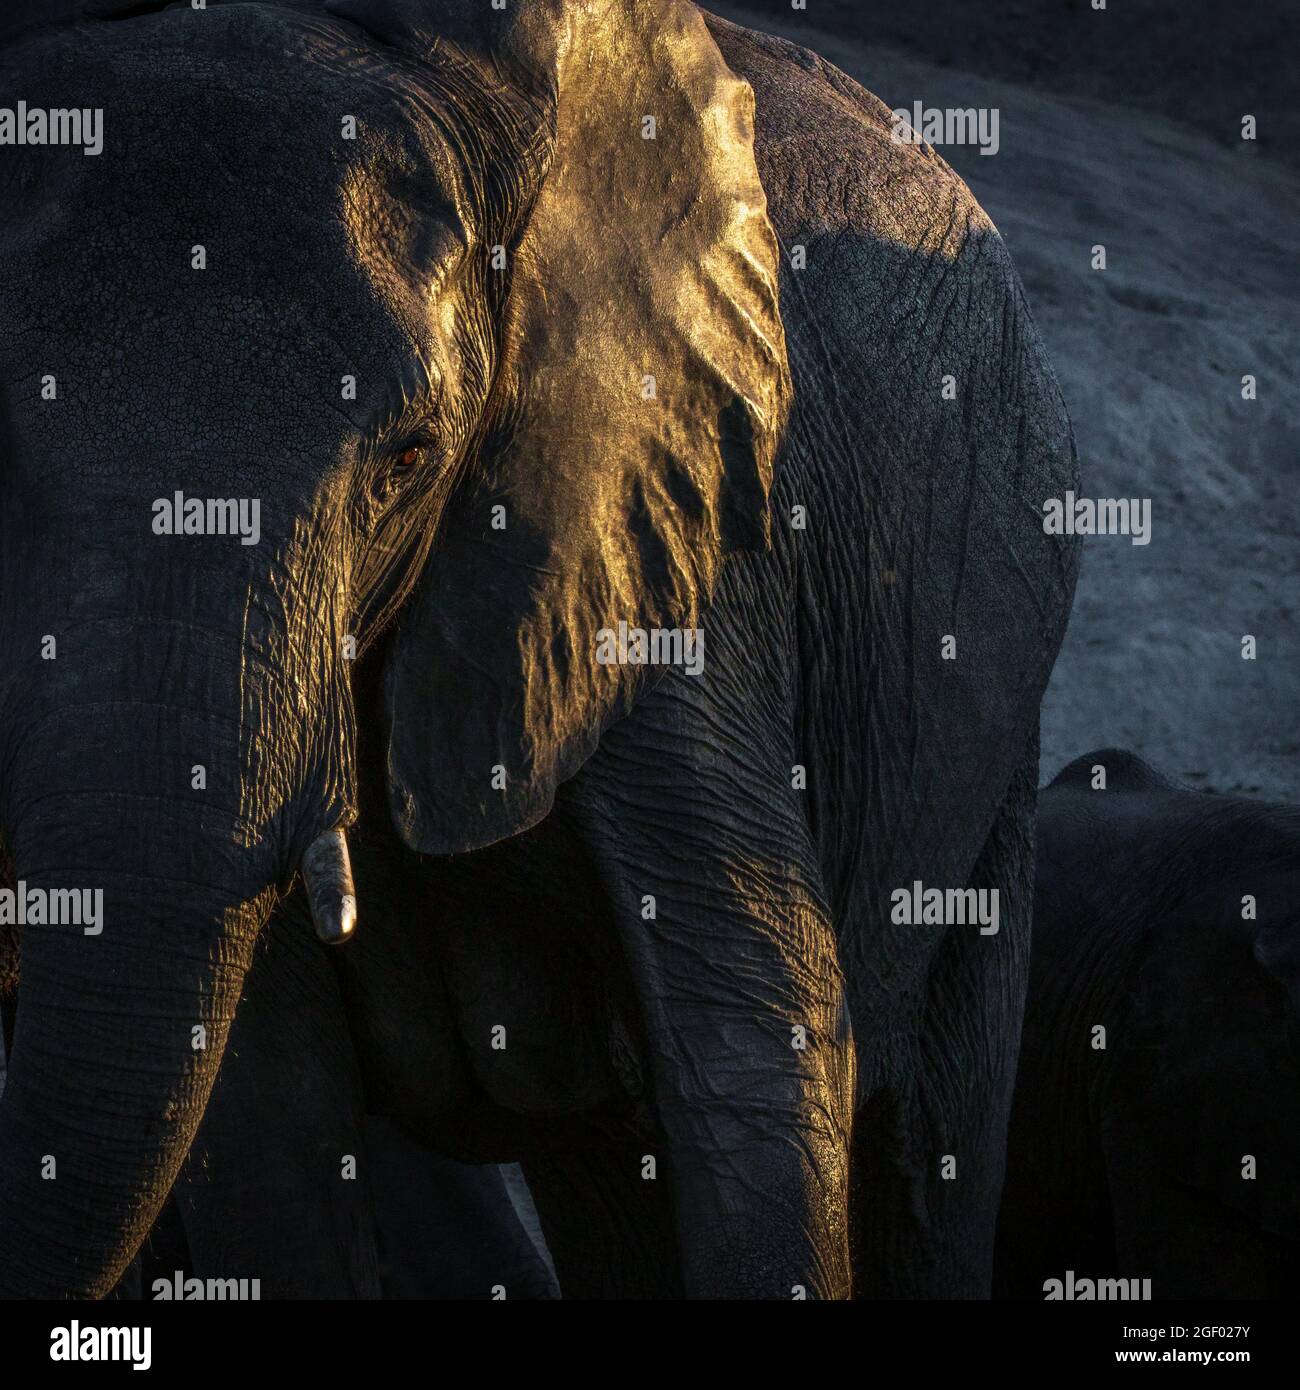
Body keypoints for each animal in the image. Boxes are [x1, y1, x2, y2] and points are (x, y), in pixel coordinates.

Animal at [0, 0, 1079, 1299]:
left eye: (410, 457)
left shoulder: (664, 551)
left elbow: (760, 1049)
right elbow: (271, 1138)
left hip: (996, 744)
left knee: (930, 1155)